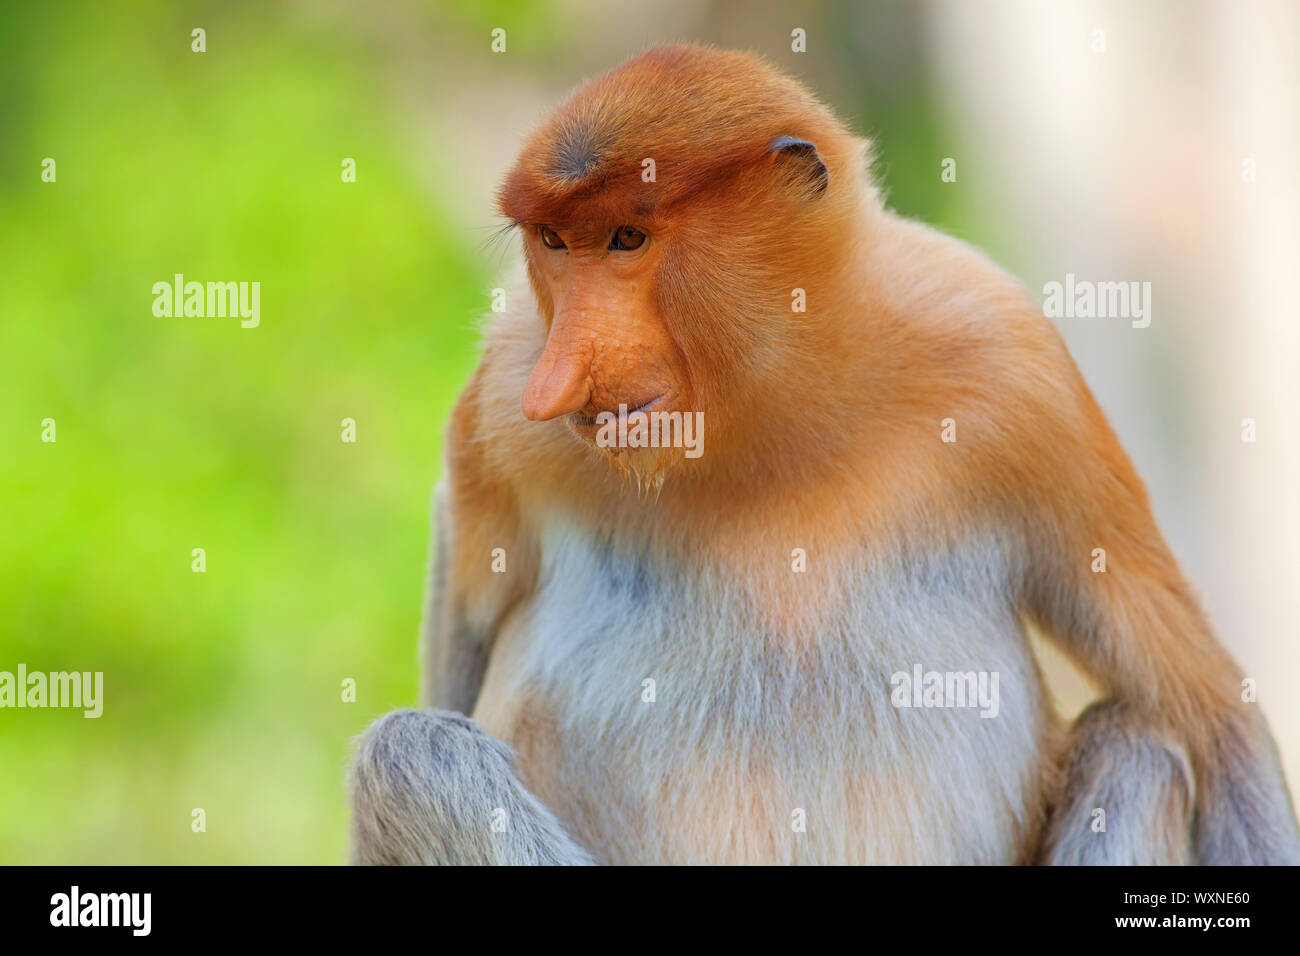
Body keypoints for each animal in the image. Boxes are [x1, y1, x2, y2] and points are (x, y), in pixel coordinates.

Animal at [349, 44, 1300, 865]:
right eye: (554, 243)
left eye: (625, 238)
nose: (561, 381)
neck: (771, 416)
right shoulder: (500, 404)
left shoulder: (1017, 368)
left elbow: (1210, 713)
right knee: (407, 753)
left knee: (1141, 741)